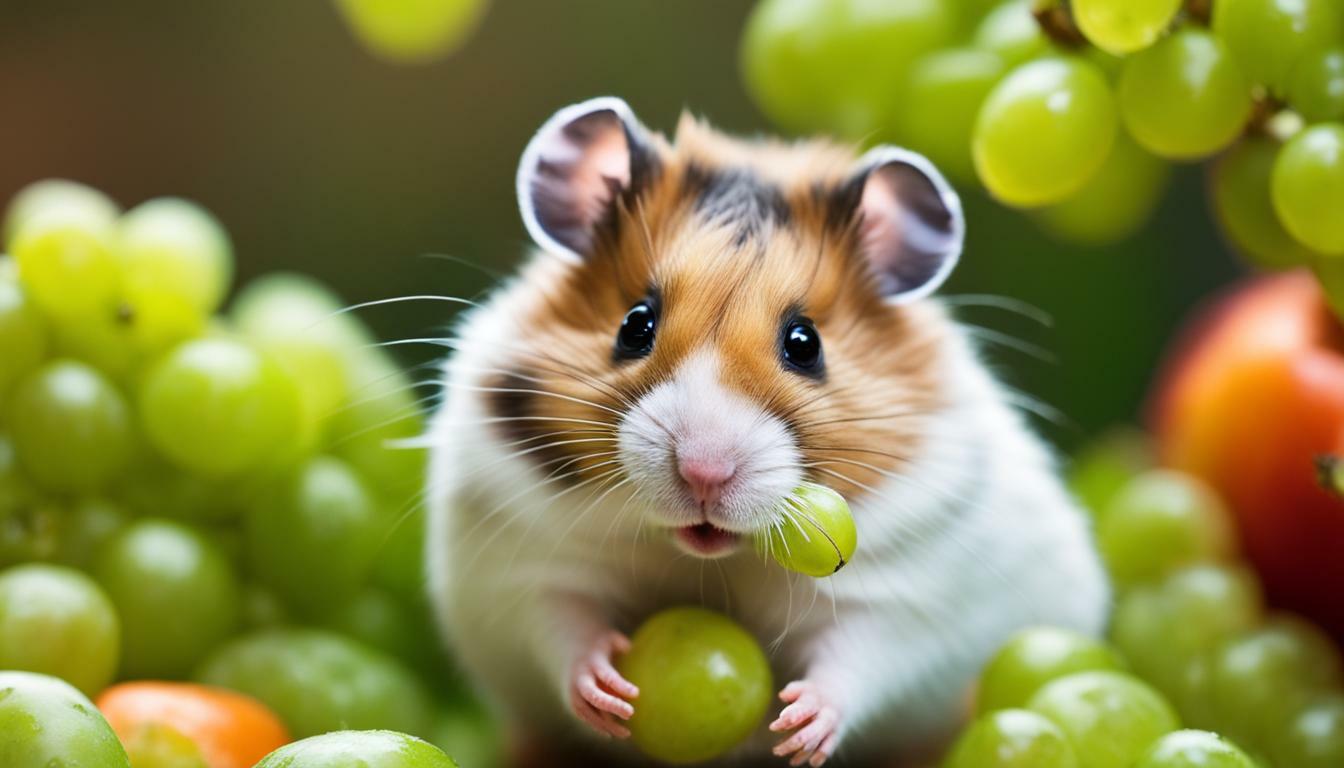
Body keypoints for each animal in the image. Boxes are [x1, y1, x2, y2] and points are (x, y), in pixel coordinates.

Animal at [426, 97, 1109, 767]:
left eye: (805, 344)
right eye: (634, 325)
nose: (703, 472)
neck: (713, 560)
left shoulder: (905, 598)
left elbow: (858, 659)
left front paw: (795, 731)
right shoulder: (529, 570)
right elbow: (566, 627)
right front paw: (610, 696)